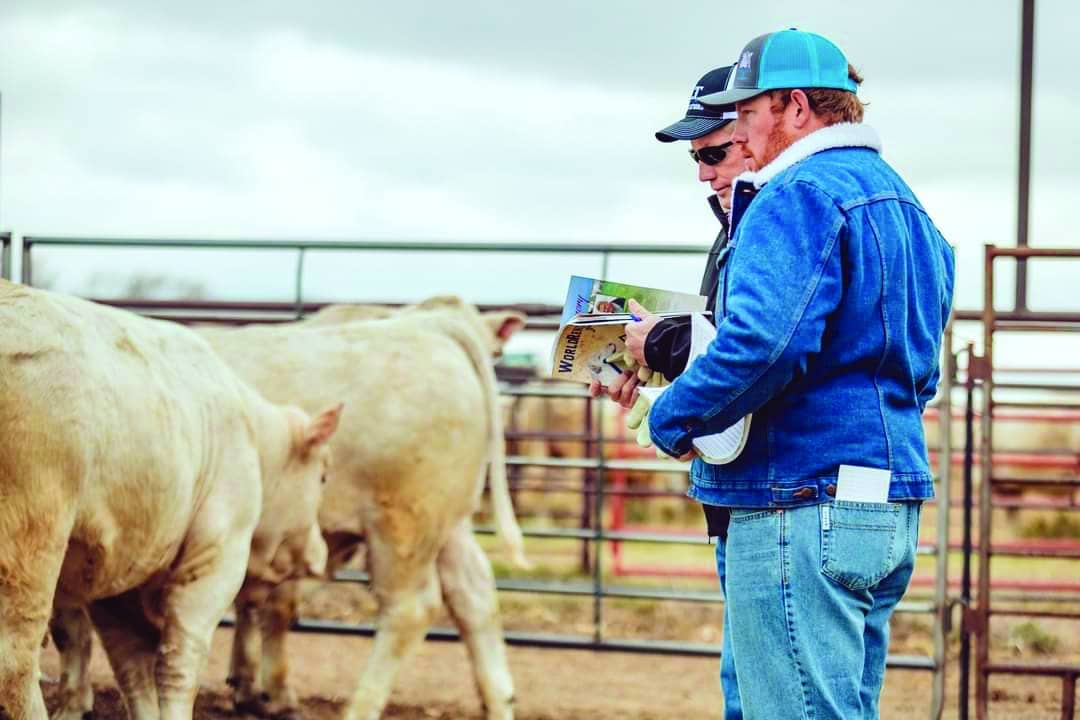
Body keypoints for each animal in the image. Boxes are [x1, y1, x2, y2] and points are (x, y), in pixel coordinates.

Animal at [0, 280, 340, 720]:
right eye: (323, 475)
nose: (319, 552)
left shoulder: (118, 578)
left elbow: (133, 667)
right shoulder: (216, 556)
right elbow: (181, 660)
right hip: (29, 542)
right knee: (15, 662)